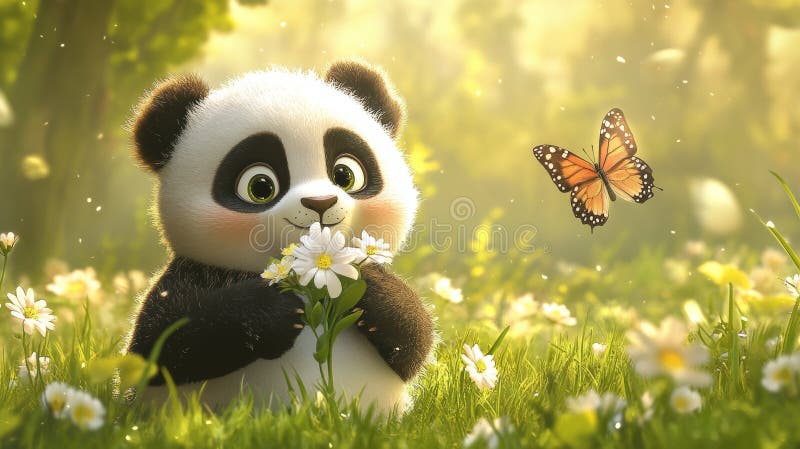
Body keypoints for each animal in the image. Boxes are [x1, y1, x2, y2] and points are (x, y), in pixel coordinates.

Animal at [125, 60, 434, 414]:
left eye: (345, 174)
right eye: (260, 186)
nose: (320, 203)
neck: (308, 275)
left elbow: (416, 340)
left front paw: (366, 286)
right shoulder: (189, 276)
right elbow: (163, 342)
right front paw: (275, 312)